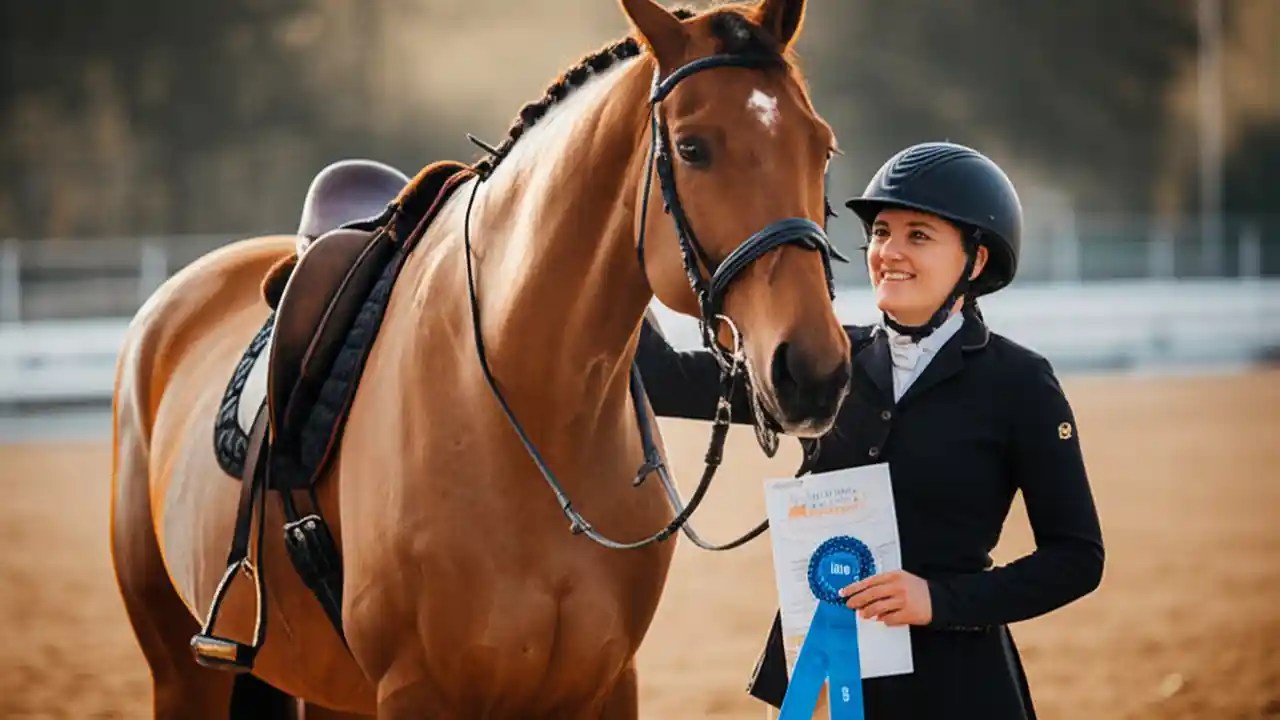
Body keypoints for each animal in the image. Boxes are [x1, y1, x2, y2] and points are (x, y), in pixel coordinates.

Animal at [109, 0, 853, 717]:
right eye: (694, 148)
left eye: (822, 145)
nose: (813, 370)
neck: (526, 415)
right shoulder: (417, 690)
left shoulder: (607, 683)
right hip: (183, 670)